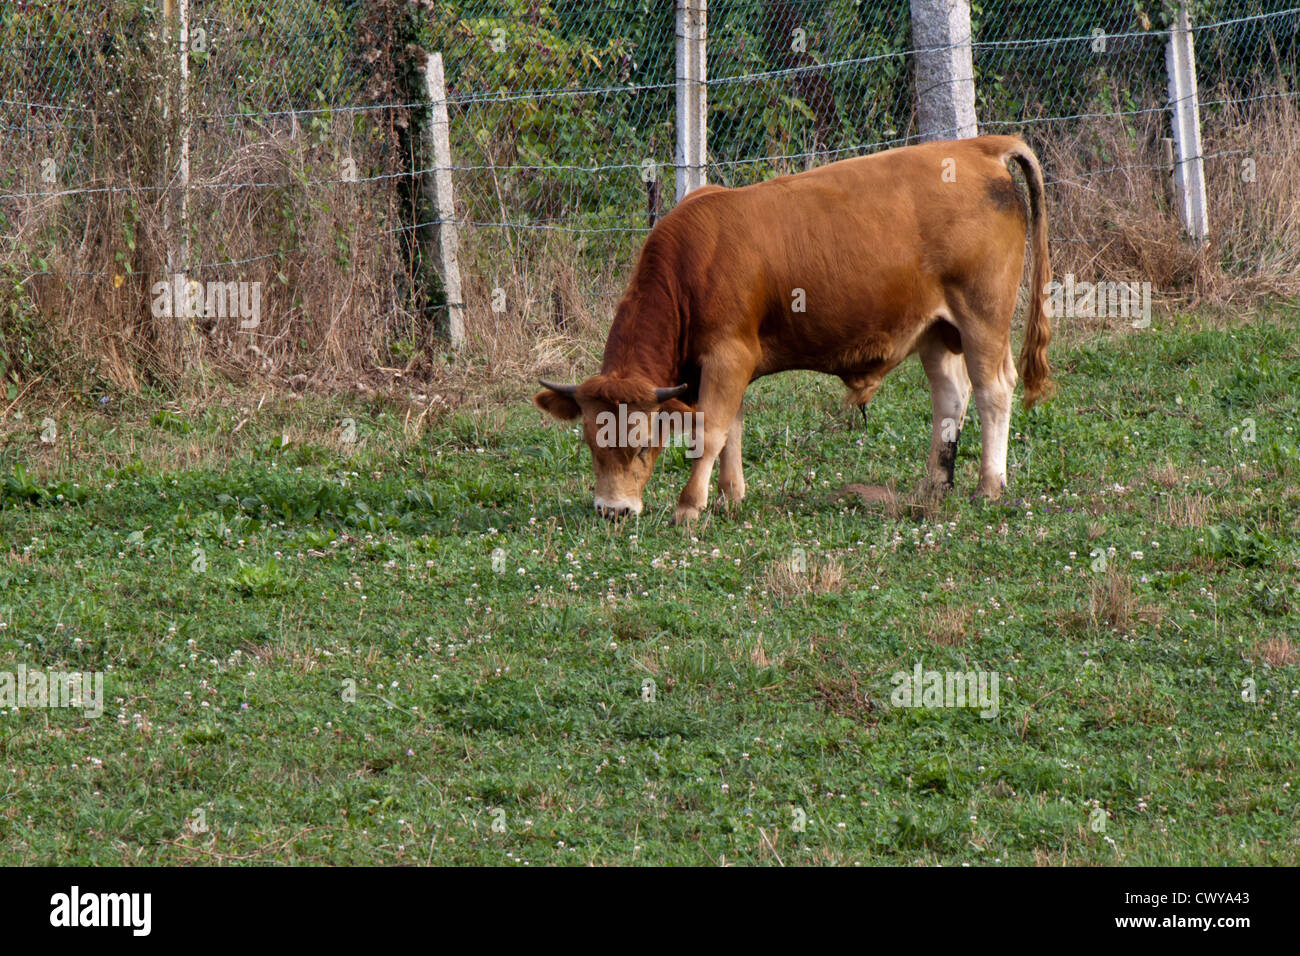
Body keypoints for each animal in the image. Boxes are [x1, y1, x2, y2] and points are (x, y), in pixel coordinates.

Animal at [535, 135, 1052, 524]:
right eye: (590, 443)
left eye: (642, 444)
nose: (613, 510)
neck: (692, 263)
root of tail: (978, 146)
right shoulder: (720, 366)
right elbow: (732, 427)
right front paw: (731, 495)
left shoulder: (728, 356)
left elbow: (711, 429)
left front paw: (689, 506)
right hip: (936, 330)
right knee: (951, 395)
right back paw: (934, 484)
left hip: (983, 316)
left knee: (993, 390)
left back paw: (988, 486)